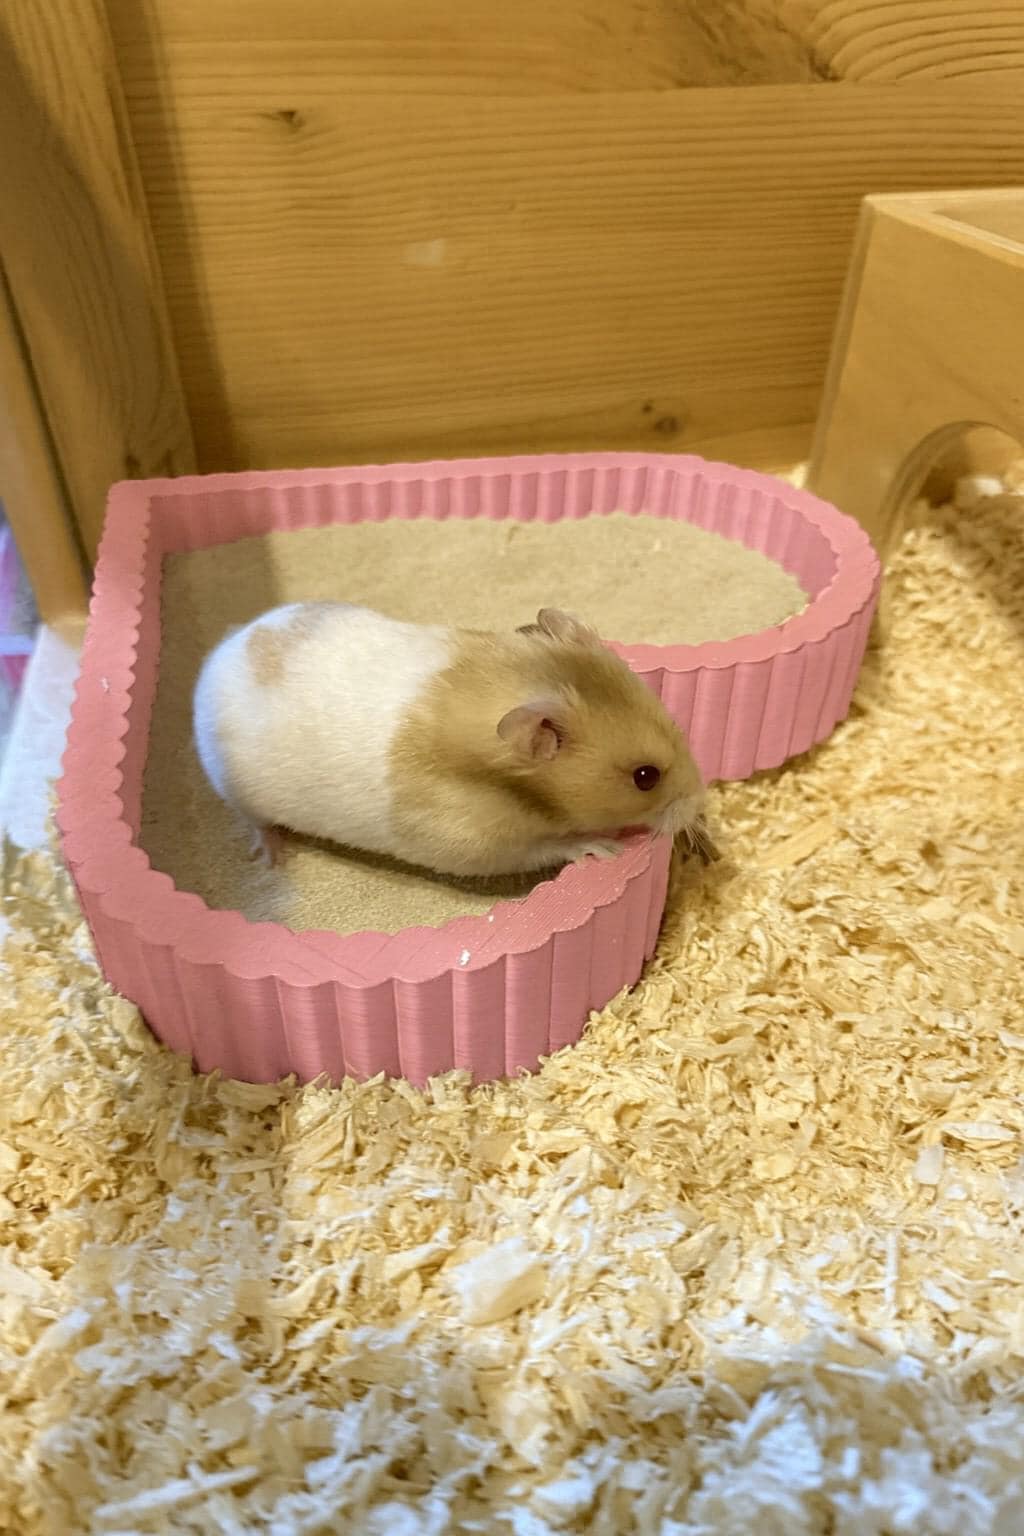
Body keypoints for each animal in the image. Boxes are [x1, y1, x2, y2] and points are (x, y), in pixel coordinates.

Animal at [192, 601, 707, 877]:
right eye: (646, 776)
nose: (699, 805)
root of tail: (221, 652)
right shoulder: (473, 844)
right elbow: (546, 848)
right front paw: (601, 847)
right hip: (236, 790)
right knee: (253, 821)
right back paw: (272, 859)